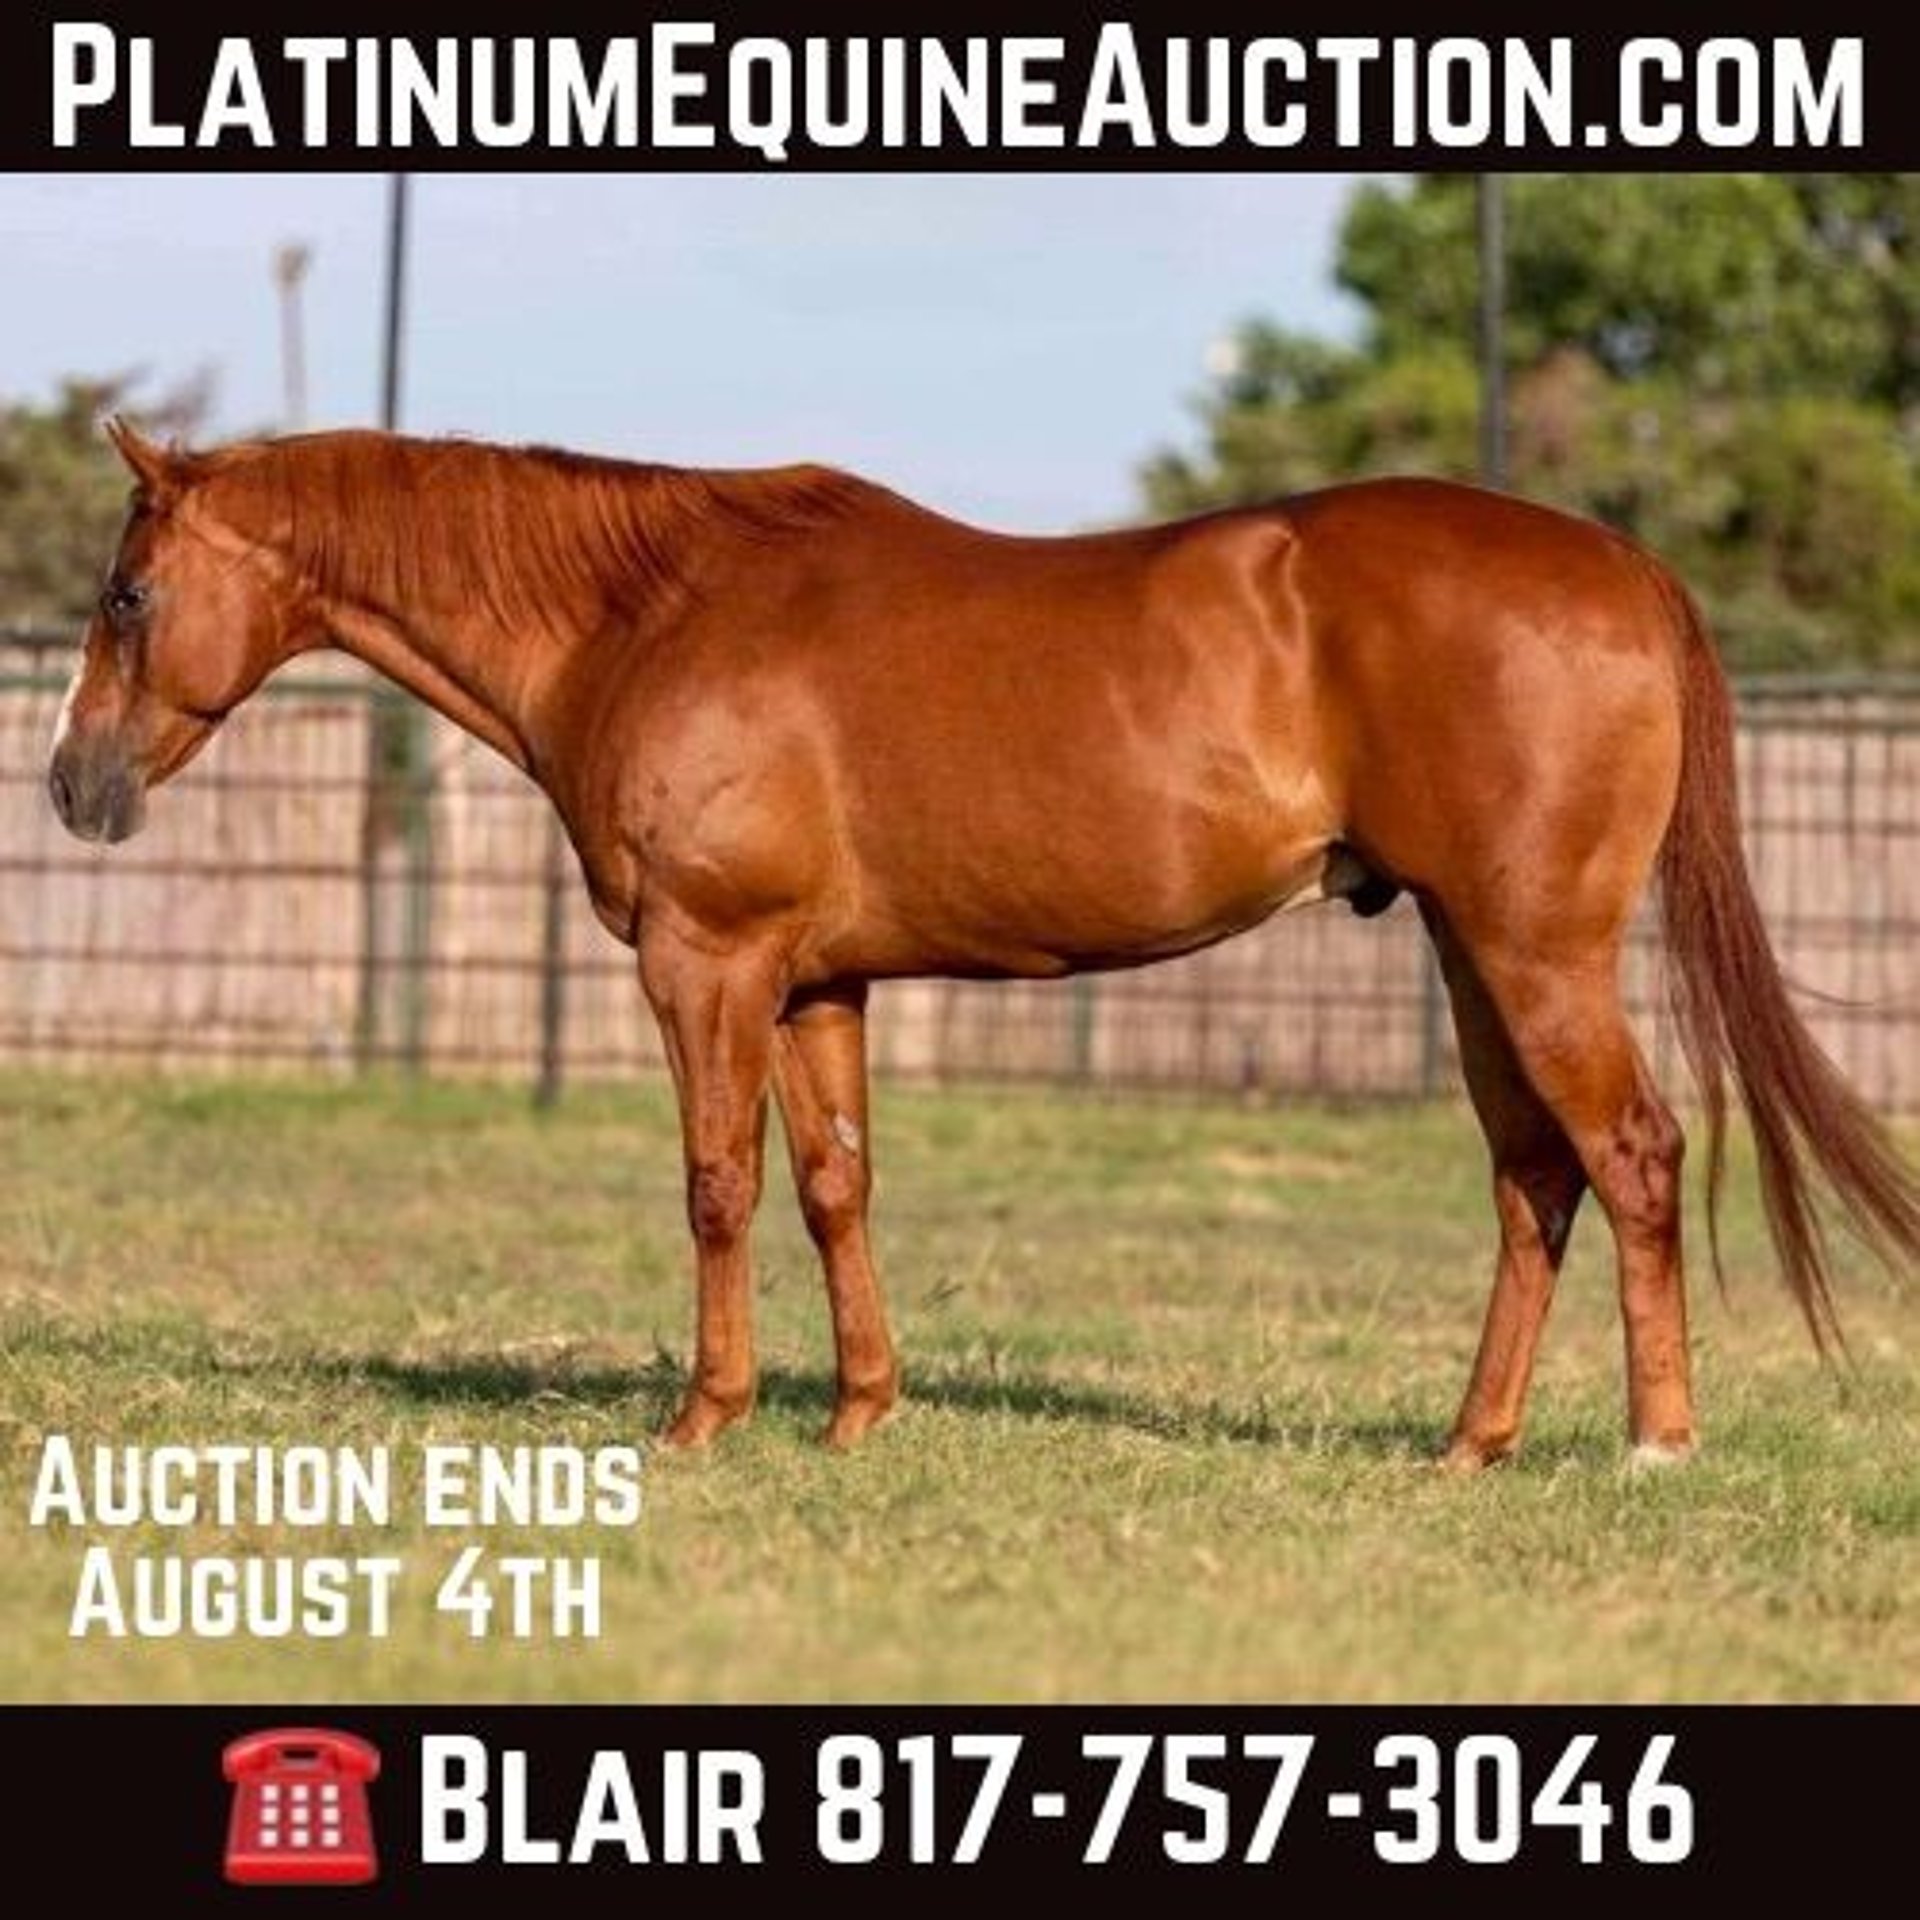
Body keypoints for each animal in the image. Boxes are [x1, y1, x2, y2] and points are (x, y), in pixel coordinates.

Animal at [47, 420, 1920, 1468]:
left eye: (127, 596)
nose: (73, 784)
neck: (644, 613)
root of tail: (1625, 570)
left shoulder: (708, 963)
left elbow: (718, 1184)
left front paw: (707, 1417)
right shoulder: (816, 983)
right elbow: (835, 1185)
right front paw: (859, 1412)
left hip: (1537, 954)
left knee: (1635, 1154)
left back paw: (1655, 1446)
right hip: (1472, 958)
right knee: (1537, 1178)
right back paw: (1472, 1445)